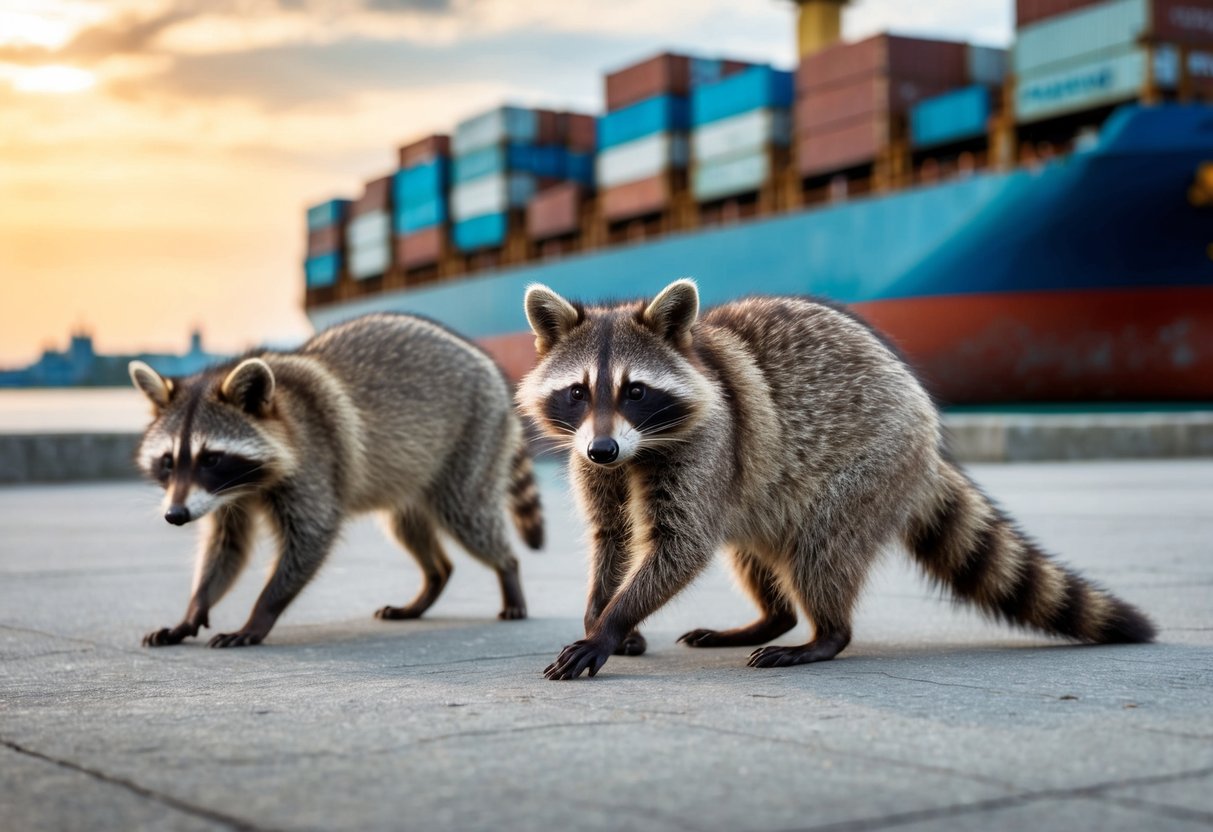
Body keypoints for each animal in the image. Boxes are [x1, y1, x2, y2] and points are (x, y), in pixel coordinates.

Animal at [130, 313, 543, 648]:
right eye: (168, 462)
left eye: (211, 458)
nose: (175, 515)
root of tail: (490, 366)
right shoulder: (220, 497)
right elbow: (226, 545)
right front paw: (194, 608)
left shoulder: (315, 461)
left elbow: (311, 535)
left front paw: (261, 612)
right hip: (409, 479)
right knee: (407, 527)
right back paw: (432, 581)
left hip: (473, 438)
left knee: (468, 515)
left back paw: (508, 571)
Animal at [518, 279, 1154, 680]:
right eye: (577, 392)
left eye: (635, 391)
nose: (603, 449)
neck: (633, 451)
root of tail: (930, 439)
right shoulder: (592, 462)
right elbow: (613, 537)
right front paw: (600, 610)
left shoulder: (708, 446)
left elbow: (682, 544)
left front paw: (610, 623)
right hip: (763, 492)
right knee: (751, 548)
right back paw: (770, 619)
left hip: (869, 468)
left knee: (820, 552)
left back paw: (824, 635)